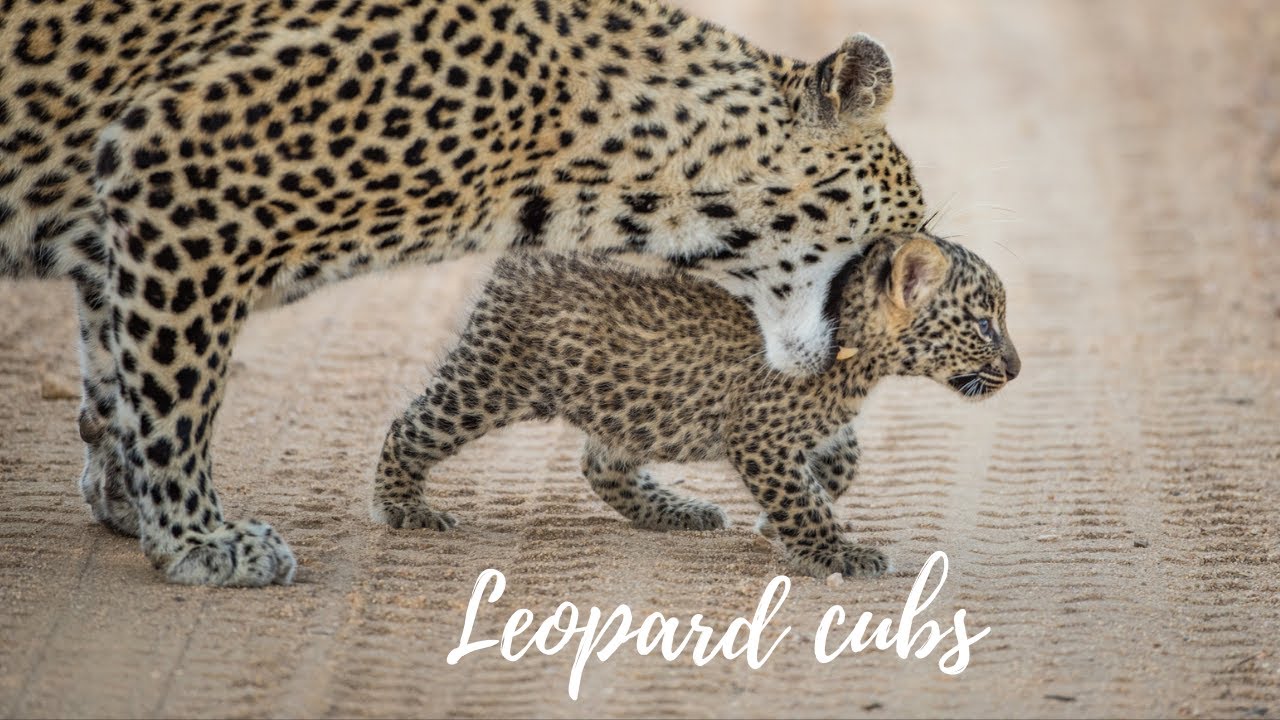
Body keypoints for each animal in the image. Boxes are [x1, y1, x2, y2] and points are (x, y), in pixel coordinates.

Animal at [0, 0, 929, 586]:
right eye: (901, 232)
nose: (910, 279)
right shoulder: (180, 175)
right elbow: (176, 390)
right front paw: (198, 539)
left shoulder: (120, 228)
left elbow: (117, 369)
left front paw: (125, 502)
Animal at [373, 231, 1020, 578]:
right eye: (985, 325)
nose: (1015, 368)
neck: (862, 357)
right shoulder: (759, 431)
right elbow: (804, 500)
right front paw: (836, 553)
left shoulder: (804, 424)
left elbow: (841, 462)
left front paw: (776, 520)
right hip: (496, 378)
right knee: (412, 426)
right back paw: (404, 507)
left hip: (627, 394)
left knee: (600, 463)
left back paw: (678, 511)